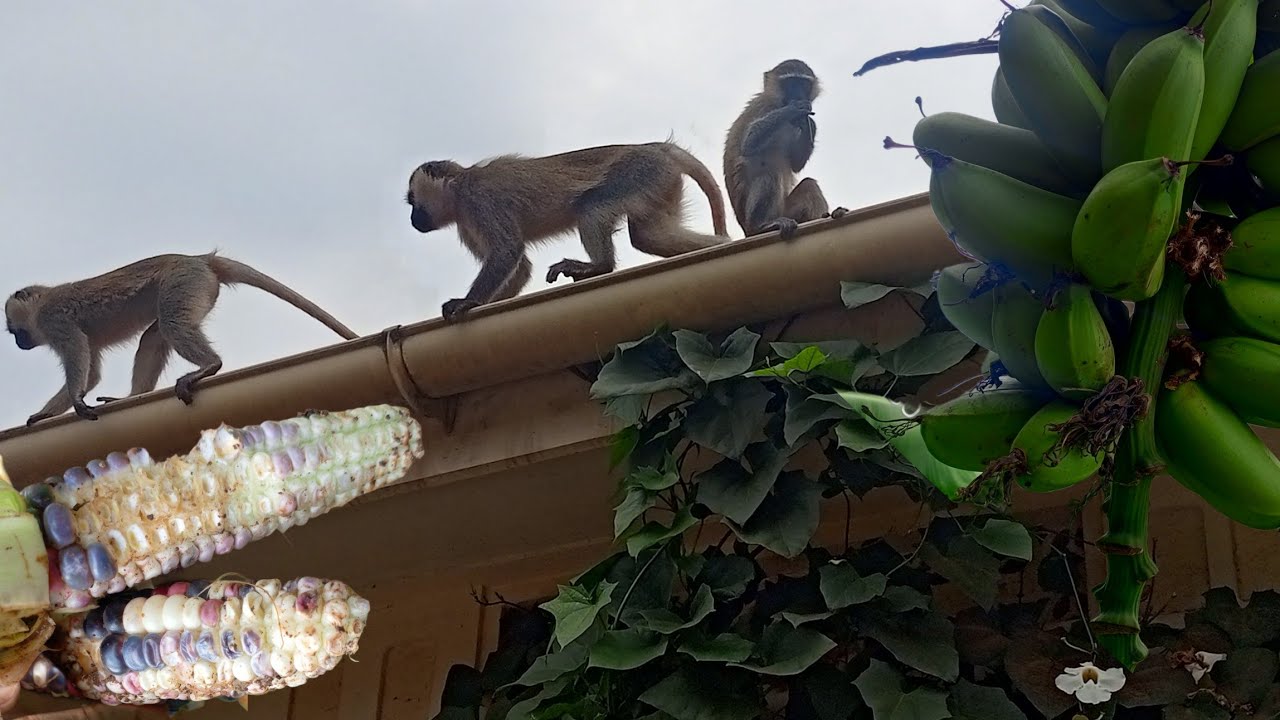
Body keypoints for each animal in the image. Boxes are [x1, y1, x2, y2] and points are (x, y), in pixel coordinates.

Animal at [6, 252, 360, 426]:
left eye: (13, 329)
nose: (18, 343)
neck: (41, 303)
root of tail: (202, 259)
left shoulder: (55, 321)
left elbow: (78, 355)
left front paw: (74, 402)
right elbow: (91, 373)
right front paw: (48, 413)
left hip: (184, 281)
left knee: (172, 324)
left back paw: (210, 366)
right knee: (155, 335)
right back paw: (133, 395)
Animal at [404, 140, 730, 323]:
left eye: (413, 202)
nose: (412, 219)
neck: (459, 189)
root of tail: (655, 147)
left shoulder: (478, 201)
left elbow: (508, 251)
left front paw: (467, 302)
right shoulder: (466, 221)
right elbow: (520, 268)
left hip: (638, 171)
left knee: (591, 207)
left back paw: (600, 266)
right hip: (660, 180)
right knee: (649, 236)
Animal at [723, 59, 848, 241]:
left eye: (803, 84)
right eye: (790, 83)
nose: (798, 95)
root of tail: (745, 229)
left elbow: (796, 164)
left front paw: (809, 123)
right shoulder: (763, 107)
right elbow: (749, 143)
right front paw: (795, 109)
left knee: (809, 184)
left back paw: (829, 215)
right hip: (755, 218)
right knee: (769, 173)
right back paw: (762, 226)